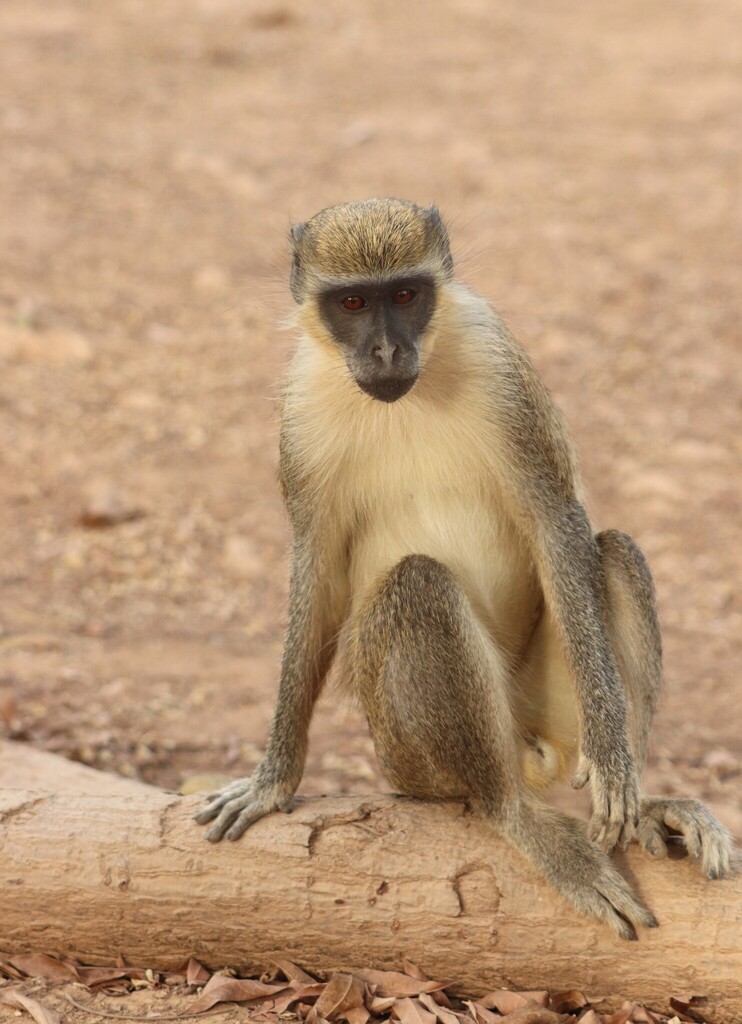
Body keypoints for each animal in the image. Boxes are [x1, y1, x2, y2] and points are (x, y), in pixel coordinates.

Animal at [195, 198, 735, 939]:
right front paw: (272, 779)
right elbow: (318, 570)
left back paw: (645, 802)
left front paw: (616, 759)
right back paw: (517, 816)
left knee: (617, 553)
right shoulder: (299, 412)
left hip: (546, 713)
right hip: (405, 760)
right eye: (353, 302)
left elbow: (555, 520)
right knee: (419, 586)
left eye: (405, 295)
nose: (386, 351)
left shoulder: (499, 362)